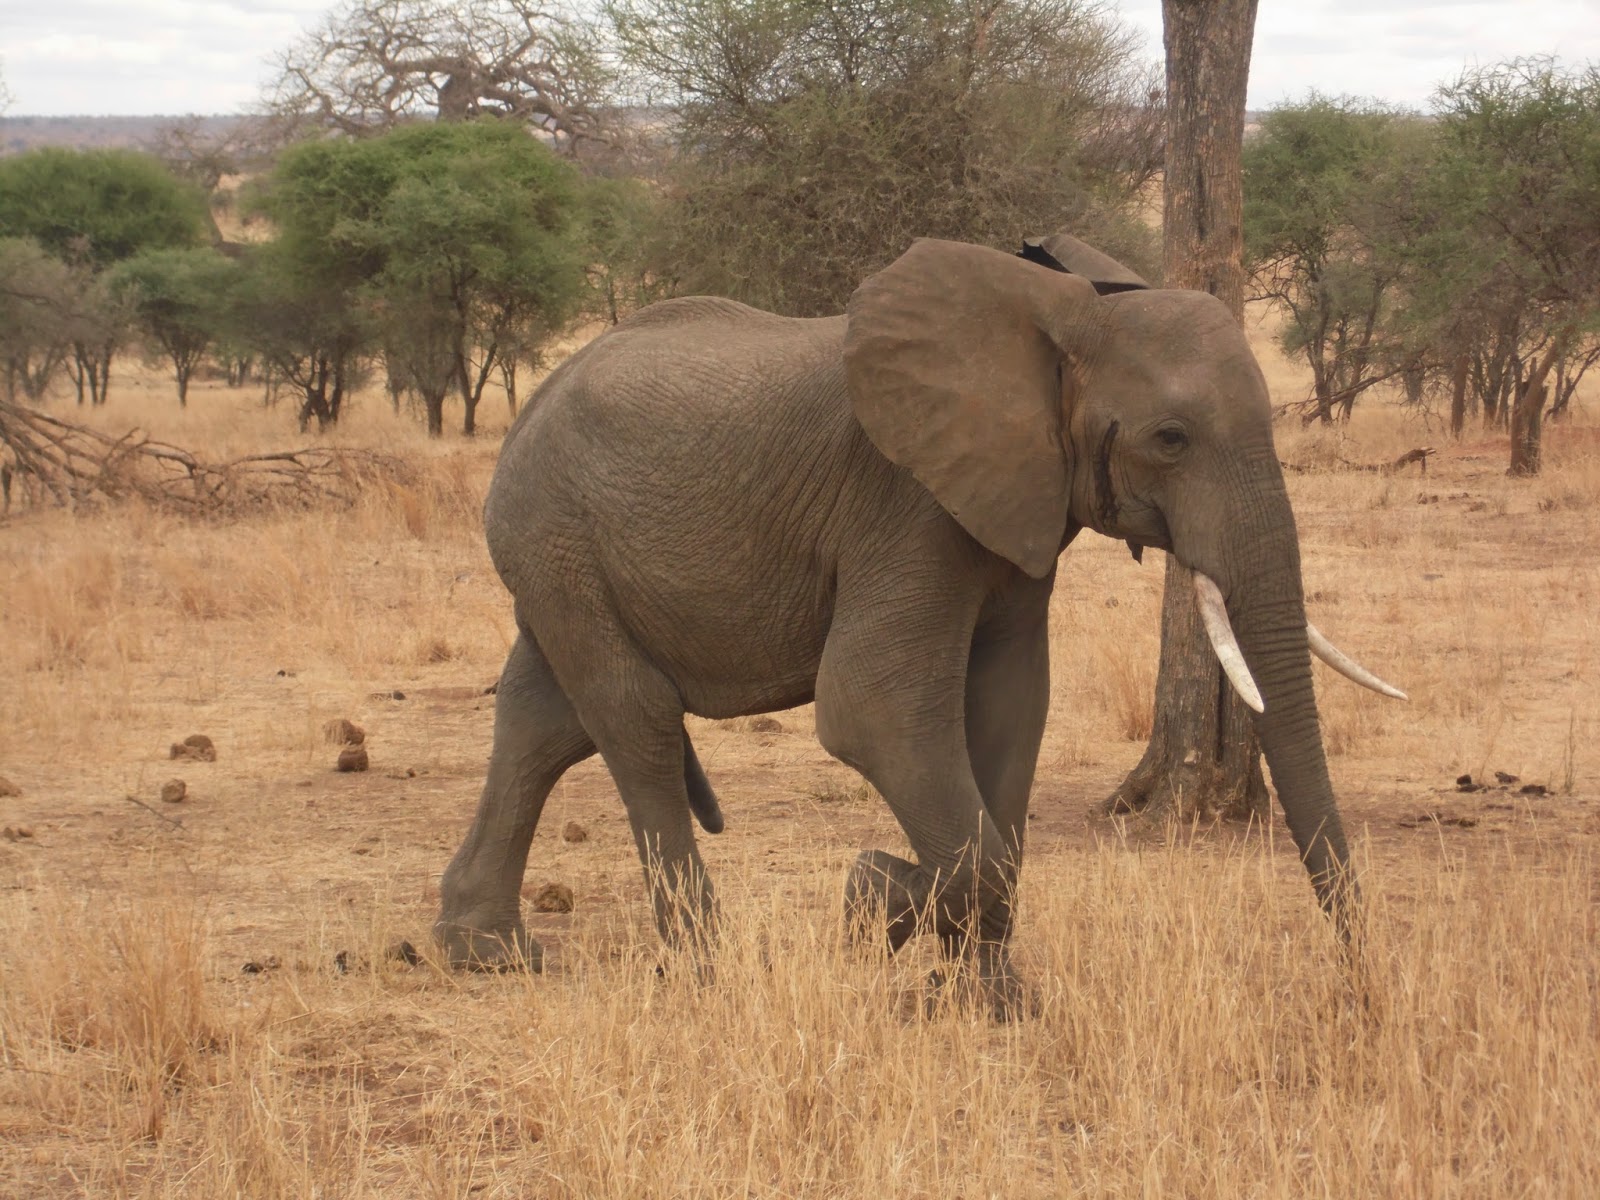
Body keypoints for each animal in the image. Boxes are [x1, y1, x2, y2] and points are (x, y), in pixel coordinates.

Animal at [432, 232, 1405, 1016]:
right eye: (1171, 438)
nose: (1362, 991)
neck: (1060, 312)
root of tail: (536, 401)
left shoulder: (1015, 508)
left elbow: (1012, 708)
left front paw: (988, 998)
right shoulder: (907, 502)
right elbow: (873, 709)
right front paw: (870, 898)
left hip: (558, 551)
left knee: (544, 719)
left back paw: (485, 953)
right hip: (553, 529)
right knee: (633, 719)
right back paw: (704, 967)